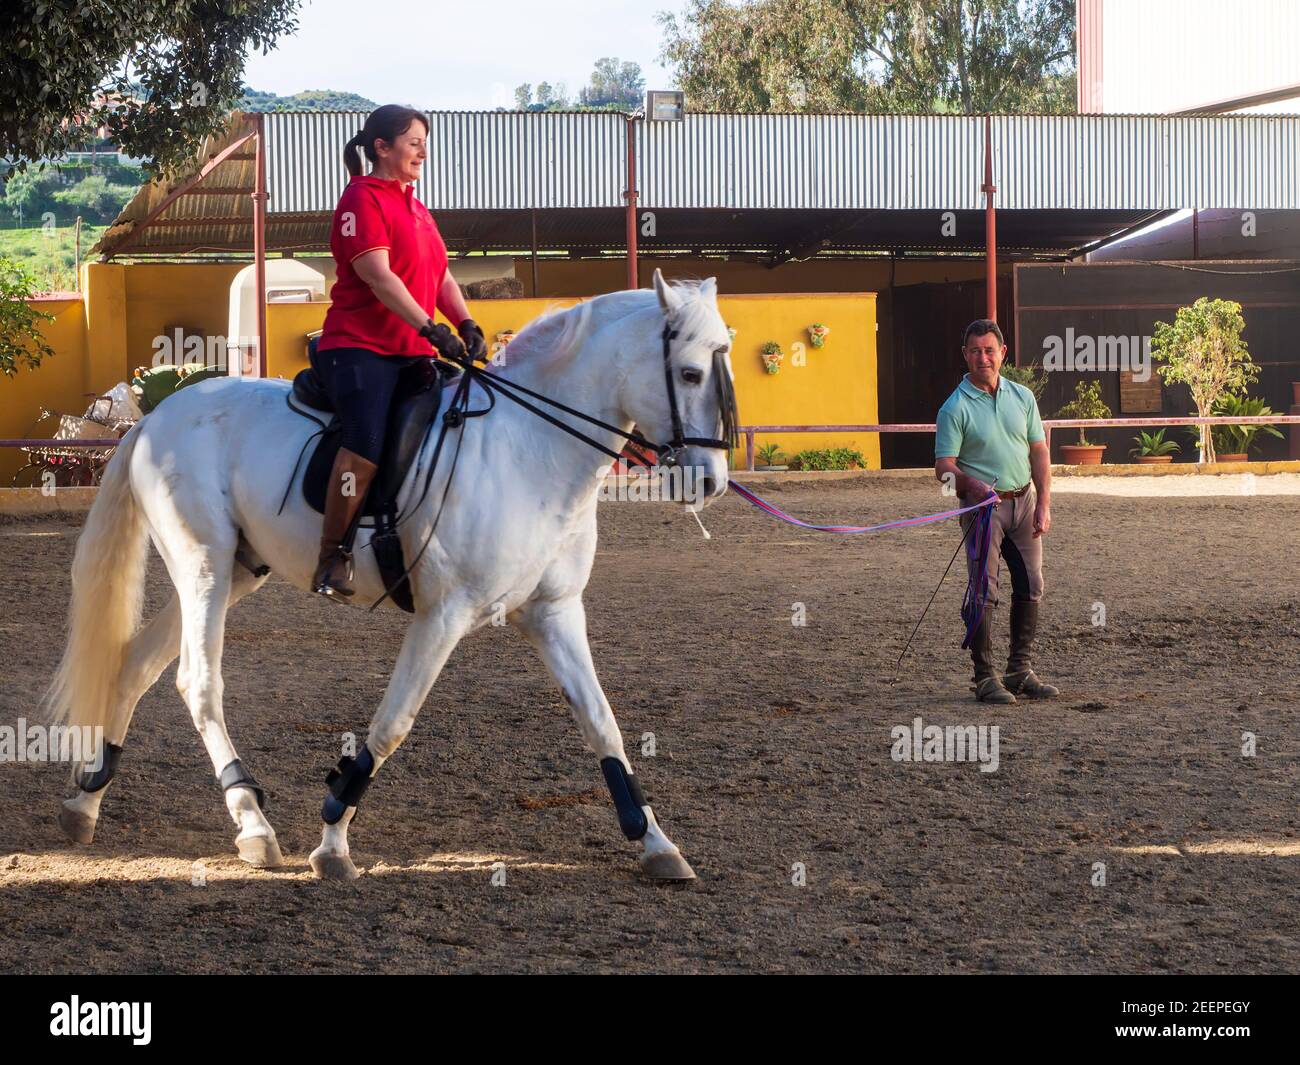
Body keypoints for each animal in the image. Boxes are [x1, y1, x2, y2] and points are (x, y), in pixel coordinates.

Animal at [41, 269, 735, 881]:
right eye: (690, 373)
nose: (710, 483)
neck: (530, 448)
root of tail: (155, 419)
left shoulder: (554, 612)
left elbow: (602, 723)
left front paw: (656, 843)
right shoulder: (444, 615)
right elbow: (394, 723)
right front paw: (332, 840)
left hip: (236, 569)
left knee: (136, 665)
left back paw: (85, 802)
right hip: (203, 565)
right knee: (197, 682)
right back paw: (252, 823)